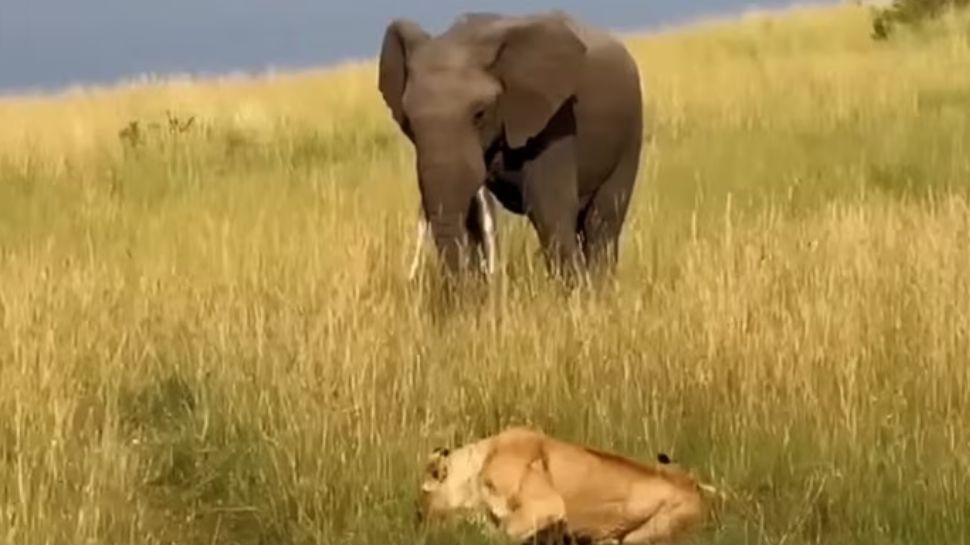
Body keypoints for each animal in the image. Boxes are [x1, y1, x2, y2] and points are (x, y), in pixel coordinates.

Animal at [380, 10, 644, 284]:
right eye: (409, 123)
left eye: (479, 115)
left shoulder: (555, 119)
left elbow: (550, 210)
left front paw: (577, 291)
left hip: (631, 129)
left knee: (602, 221)